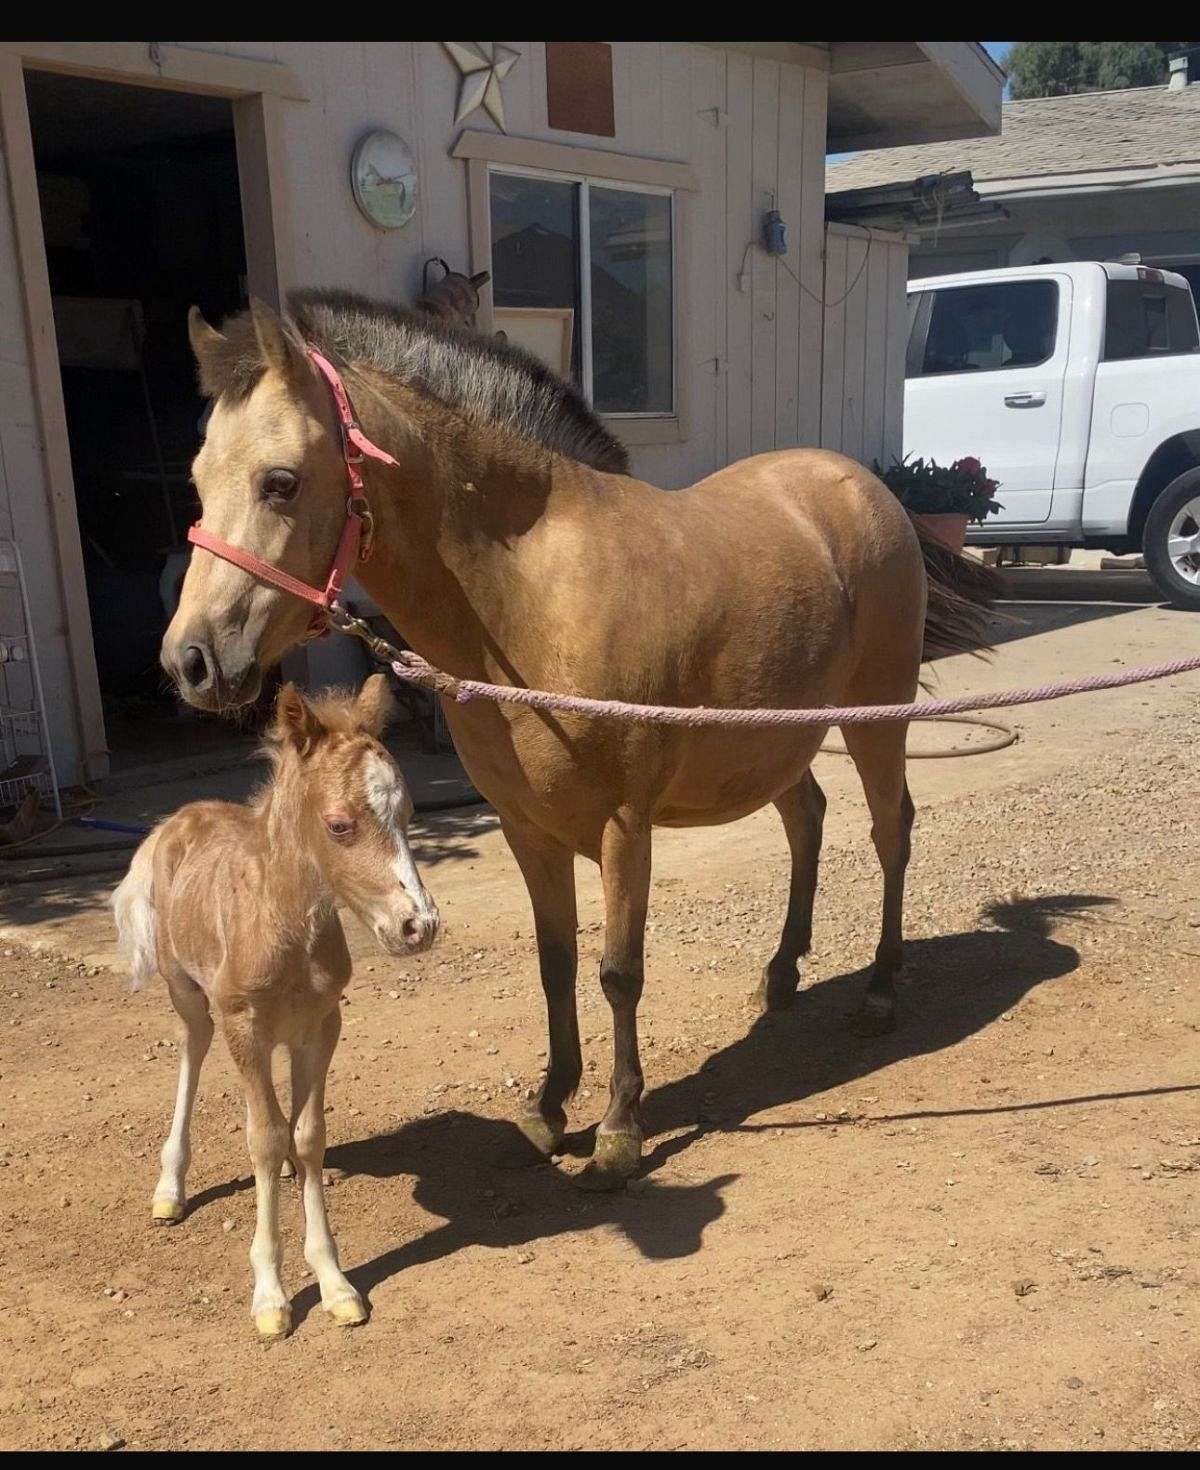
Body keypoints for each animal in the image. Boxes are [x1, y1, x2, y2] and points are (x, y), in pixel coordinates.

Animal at [111, 674, 439, 1337]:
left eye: (409, 815)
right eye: (339, 826)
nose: (419, 926)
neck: (283, 922)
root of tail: (175, 819)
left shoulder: (323, 1022)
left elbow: (309, 1135)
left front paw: (336, 1283)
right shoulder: (246, 1026)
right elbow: (260, 1138)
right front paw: (270, 1294)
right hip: (189, 996)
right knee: (192, 1054)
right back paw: (170, 1187)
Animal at [162, 290, 994, 1188]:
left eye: (279, 482)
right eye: (198, 482)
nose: (190, 659)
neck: (532, 594)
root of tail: (870, 490)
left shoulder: (624, 827)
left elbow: (618, 972)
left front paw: (620, 1129)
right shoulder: (528, 829)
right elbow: (555, 963)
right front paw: (550, 1105)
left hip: (877, 713)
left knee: (890, 831)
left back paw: (880, 988)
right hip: (774, 742)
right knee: (807, 820)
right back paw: (781, 976)